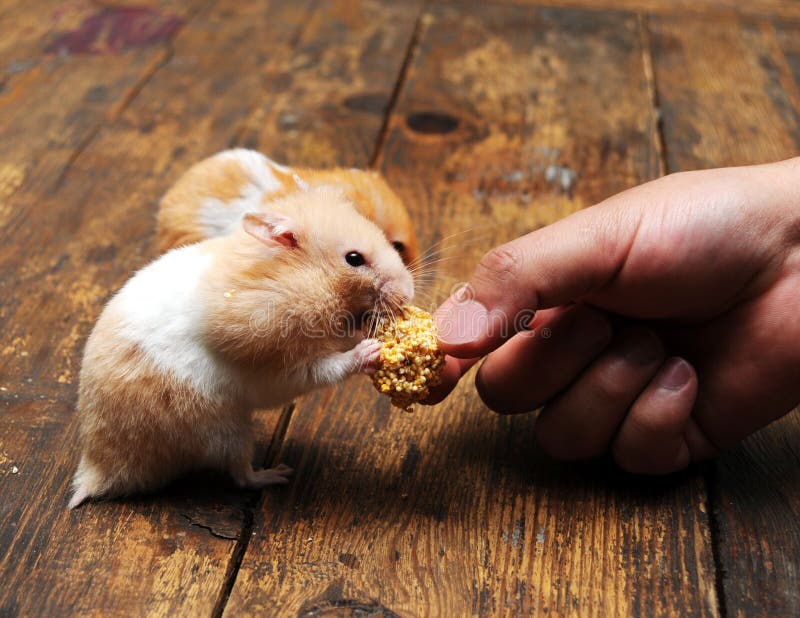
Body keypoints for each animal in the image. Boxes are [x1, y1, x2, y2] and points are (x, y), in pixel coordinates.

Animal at [69, 186, 414, 508]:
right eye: (354, 259)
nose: (409, 293)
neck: (305, 279)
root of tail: (97, 468)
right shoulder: (279, 365)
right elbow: (329, 367)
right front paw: (371, 350)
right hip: (221, 429)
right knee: (241, 476)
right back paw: (278, 474)